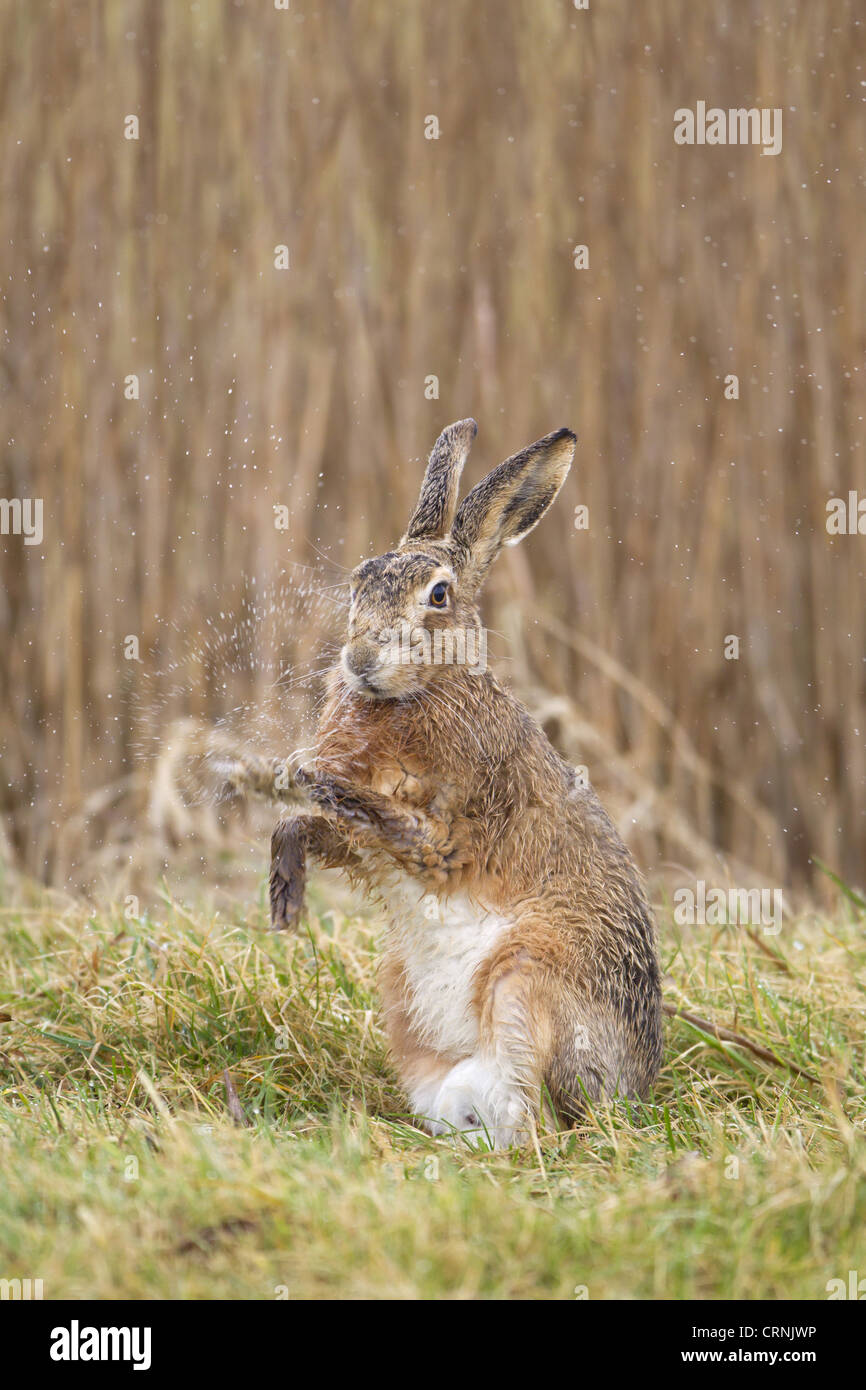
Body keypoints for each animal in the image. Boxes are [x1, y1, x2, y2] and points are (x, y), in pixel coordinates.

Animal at [270, 419, 663, 1147]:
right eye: (358, 584)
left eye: (439, 595)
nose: (360, 659)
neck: (426, 687)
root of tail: (629, 1090)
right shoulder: (365, 848)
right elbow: (314, 828)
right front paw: (284, 898)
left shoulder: (448, 832)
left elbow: (391, 819)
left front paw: (306, 770)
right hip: (409, 1015)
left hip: (527, 980)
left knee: (537, 1121)